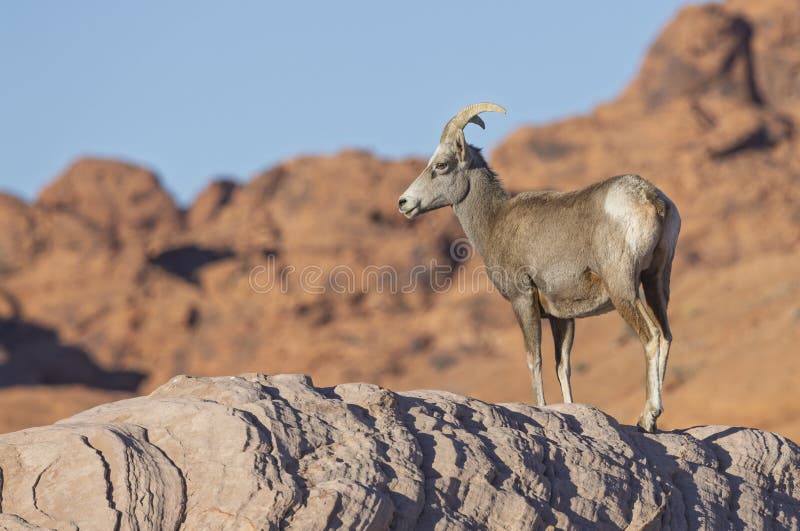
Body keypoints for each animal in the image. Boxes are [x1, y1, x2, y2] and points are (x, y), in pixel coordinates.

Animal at [398, 102, 680, 432]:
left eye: (441, 165)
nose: (404, 203)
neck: (494, 222)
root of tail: (652, 199)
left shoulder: (523, 300)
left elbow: (535, 360)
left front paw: (541, 408)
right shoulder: (562, 316)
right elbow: (563, 366)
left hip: (623, 290)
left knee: (652, 336)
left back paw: (647, 417)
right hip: (656, 282)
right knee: (667, 336)